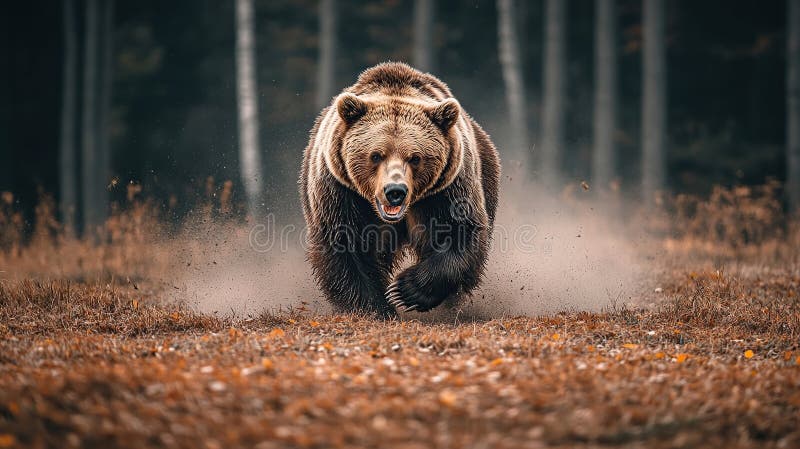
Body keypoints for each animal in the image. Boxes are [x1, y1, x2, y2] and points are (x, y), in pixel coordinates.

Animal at [299, 62, 500, 317]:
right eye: (376, 155)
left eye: (415, 158)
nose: (395, 191)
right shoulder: (341, 191)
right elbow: (344, 245)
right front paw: (375, 308)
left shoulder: (447, 190)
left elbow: (460, 232)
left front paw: (405, 290)